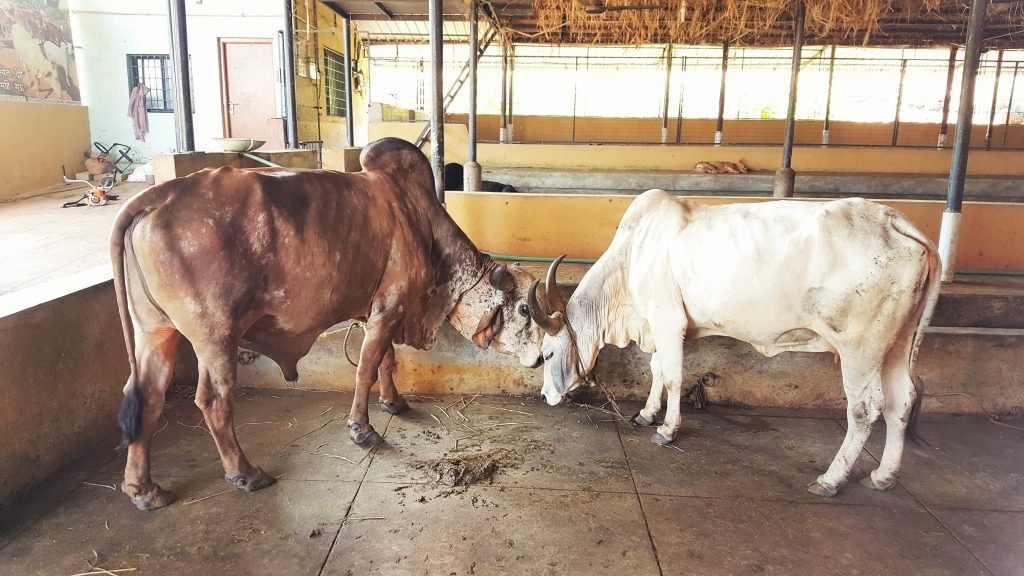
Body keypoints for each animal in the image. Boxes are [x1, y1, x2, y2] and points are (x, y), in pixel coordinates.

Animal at [110, 138, 544, 510]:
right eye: (525, 309)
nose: (541, 359)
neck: (418, 221)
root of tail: (157, 196)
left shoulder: (378, 311)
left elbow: (387, 361)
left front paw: (394, 402)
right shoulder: (389, 308)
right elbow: (367, 368)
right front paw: (362, 429)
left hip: (155, 332)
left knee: (145, 396)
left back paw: (144, 489)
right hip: (214, 335)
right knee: (214, 400)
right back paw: (245, 473)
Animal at [528, 189, 940, 497]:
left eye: (548, 353)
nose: (545, 396)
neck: (631, 260)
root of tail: (895, 221)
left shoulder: (668, 320)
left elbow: (672, 376)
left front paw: (667, 429)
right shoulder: (658, 325)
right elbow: (657, 370)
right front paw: (647, 413)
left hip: (860, 347)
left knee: (865, 409)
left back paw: (831, 479)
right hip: (897, 343)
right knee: (901, 401)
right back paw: (884, 475)